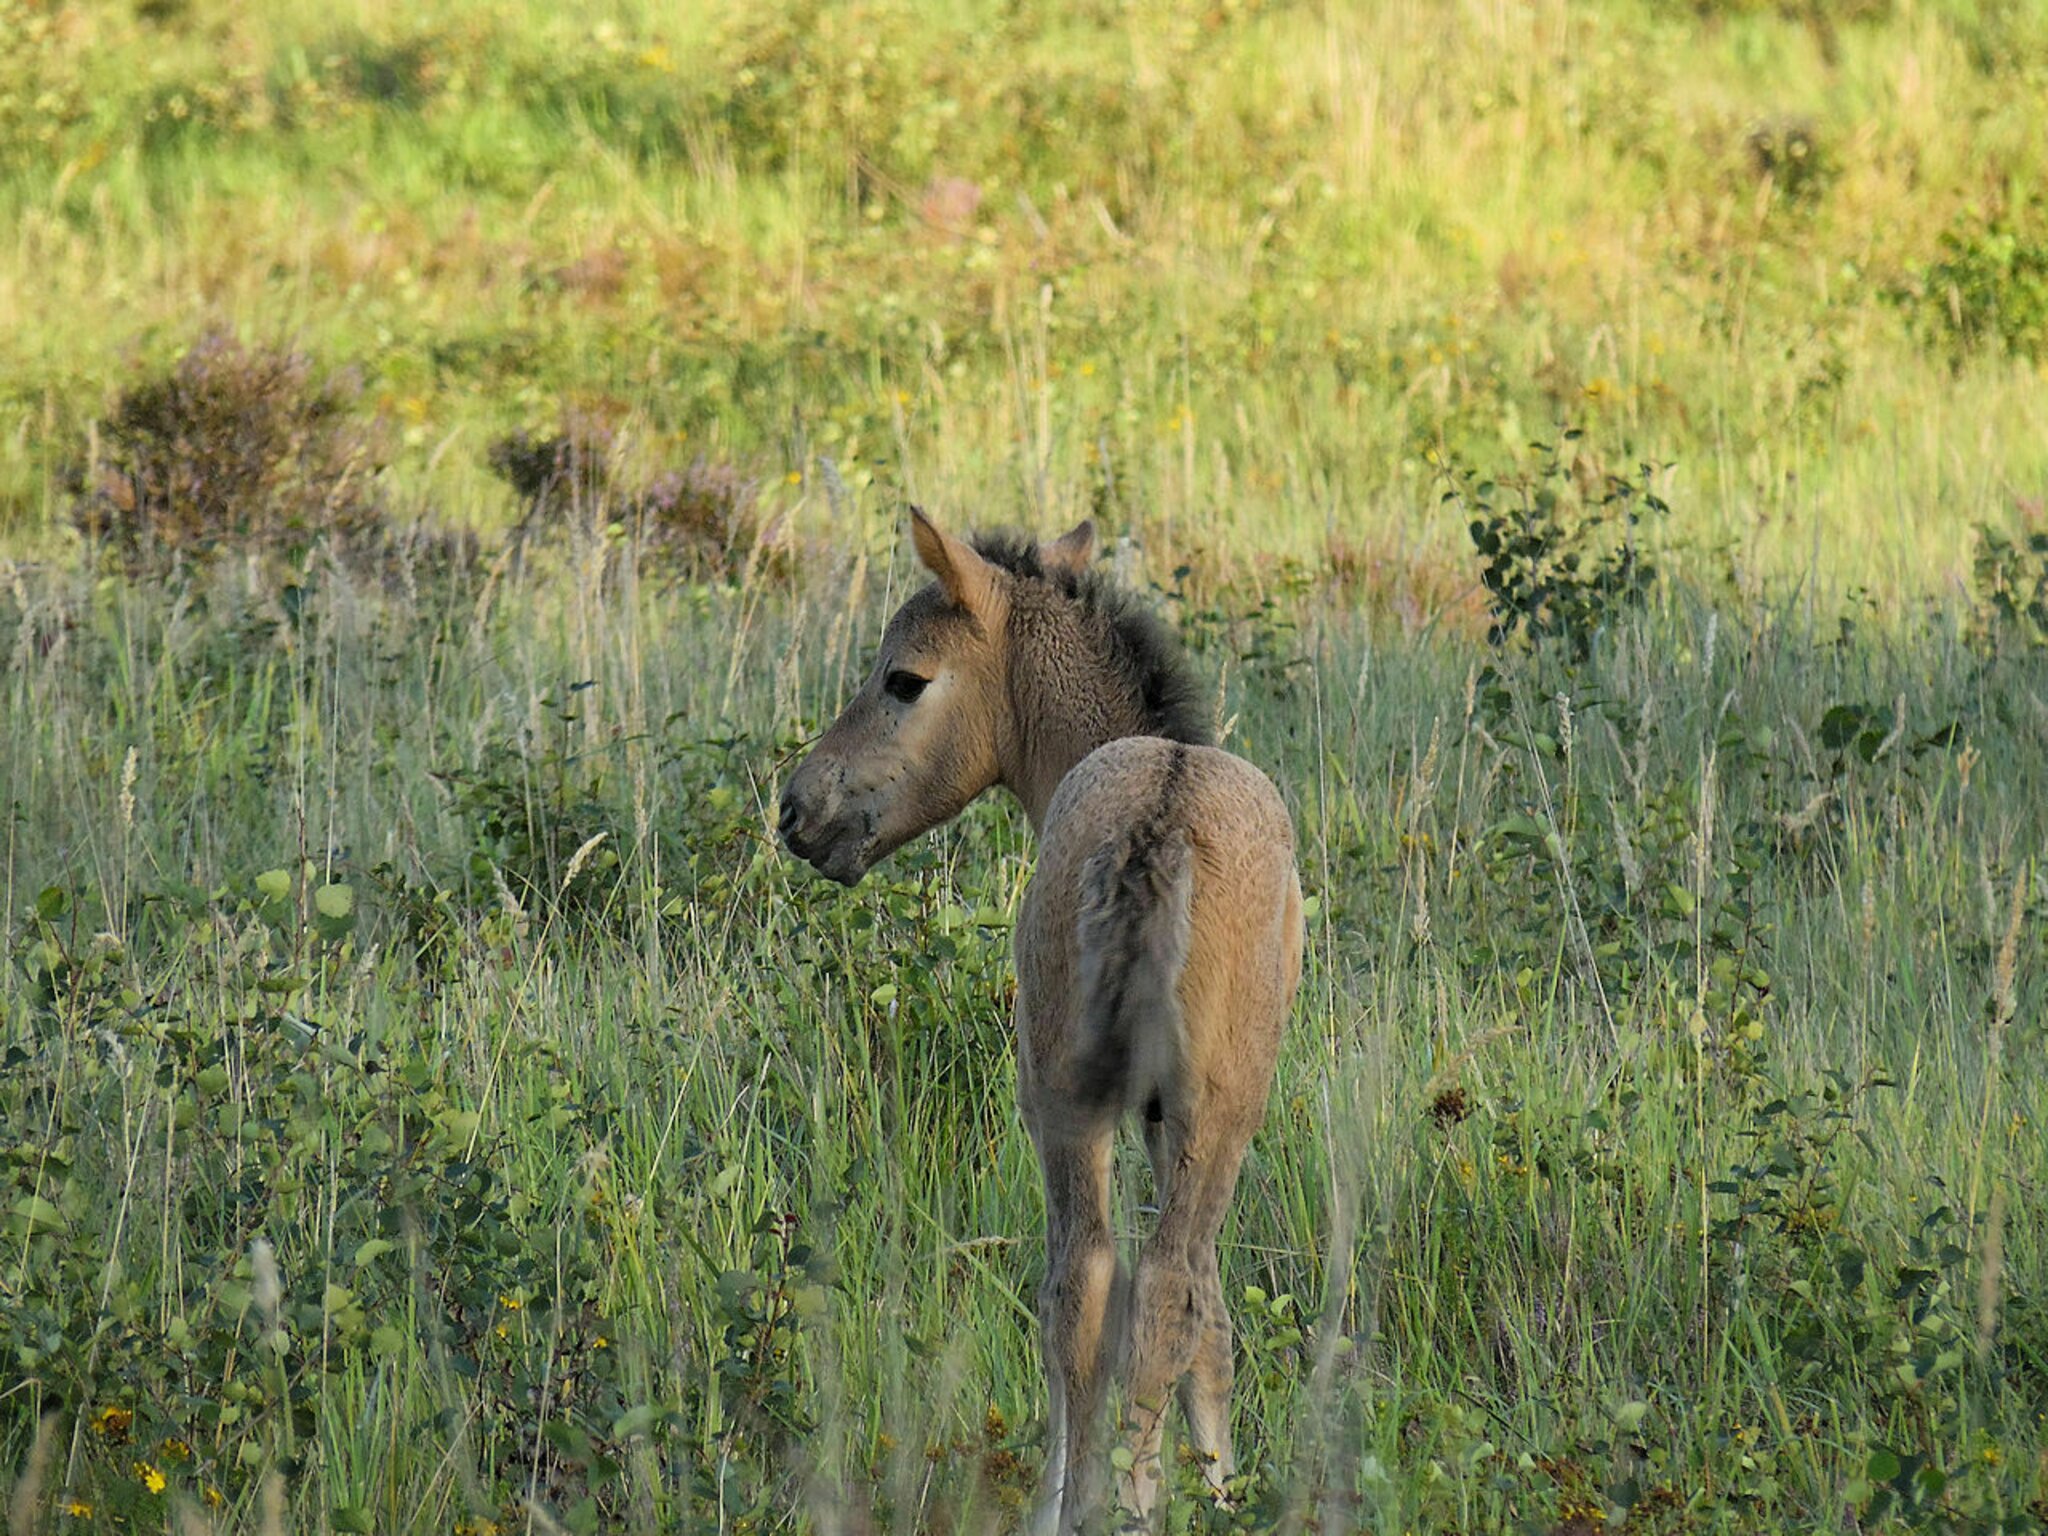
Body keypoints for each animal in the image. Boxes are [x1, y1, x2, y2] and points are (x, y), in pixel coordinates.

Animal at [778, 510, 1303, 1532]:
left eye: (904, 677)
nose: (797, 808)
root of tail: (1155, 831)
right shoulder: (1179, 1118)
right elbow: (1209, 1318)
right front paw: (1218, 1483)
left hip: (1078, 1096)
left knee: (1096, 1284)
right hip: (1183, 1108)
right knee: (1143, 1284)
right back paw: (1122, 1499)